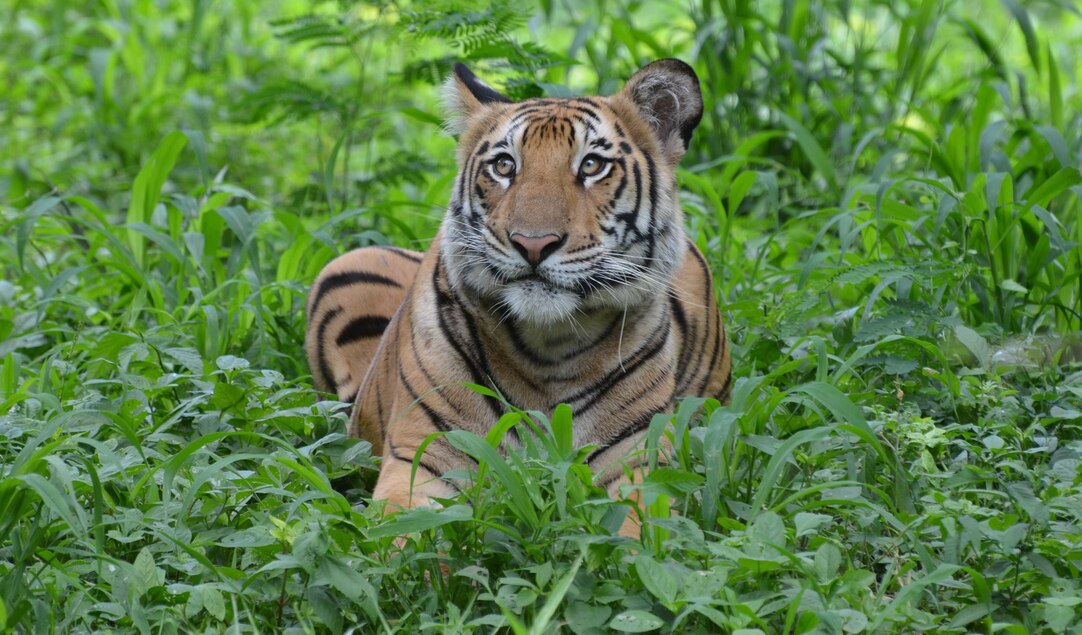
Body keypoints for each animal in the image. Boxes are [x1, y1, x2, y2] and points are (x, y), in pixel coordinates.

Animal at [305, 59, 731, 538]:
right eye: (505, 165)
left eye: (592, 165)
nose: (533, 243)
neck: (550, 347)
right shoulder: (426, 457)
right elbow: (406, 536)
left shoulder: (635, 466)